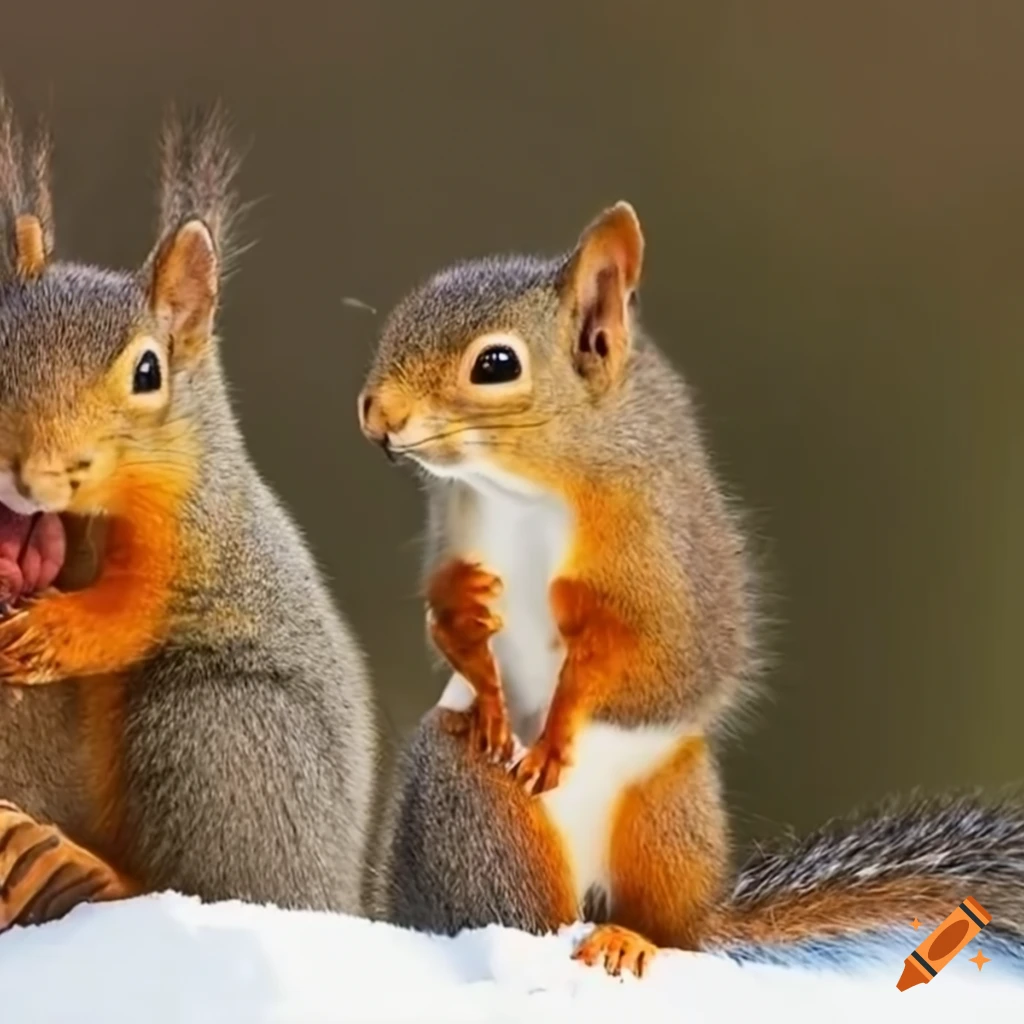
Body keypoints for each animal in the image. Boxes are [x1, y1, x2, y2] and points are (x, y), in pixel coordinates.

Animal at [0, 96, 376, 932]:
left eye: (149, 372)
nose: (31, 475)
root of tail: (334, 891)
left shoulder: (196, 528)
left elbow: (132, 611)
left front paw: (49, 631)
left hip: (215, 725)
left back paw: (93, 875)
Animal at [358, 200, 1024, 977]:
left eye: (496, 364)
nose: (375, 415)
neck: (522, 490)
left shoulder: (671, 559)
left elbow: (671, 658)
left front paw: (563, 713)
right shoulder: (452, 533)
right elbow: (448, 619)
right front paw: (474, 644)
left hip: (667, 811)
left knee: (666, 928)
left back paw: (629, 938)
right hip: (477, 807)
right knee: (514, 904)